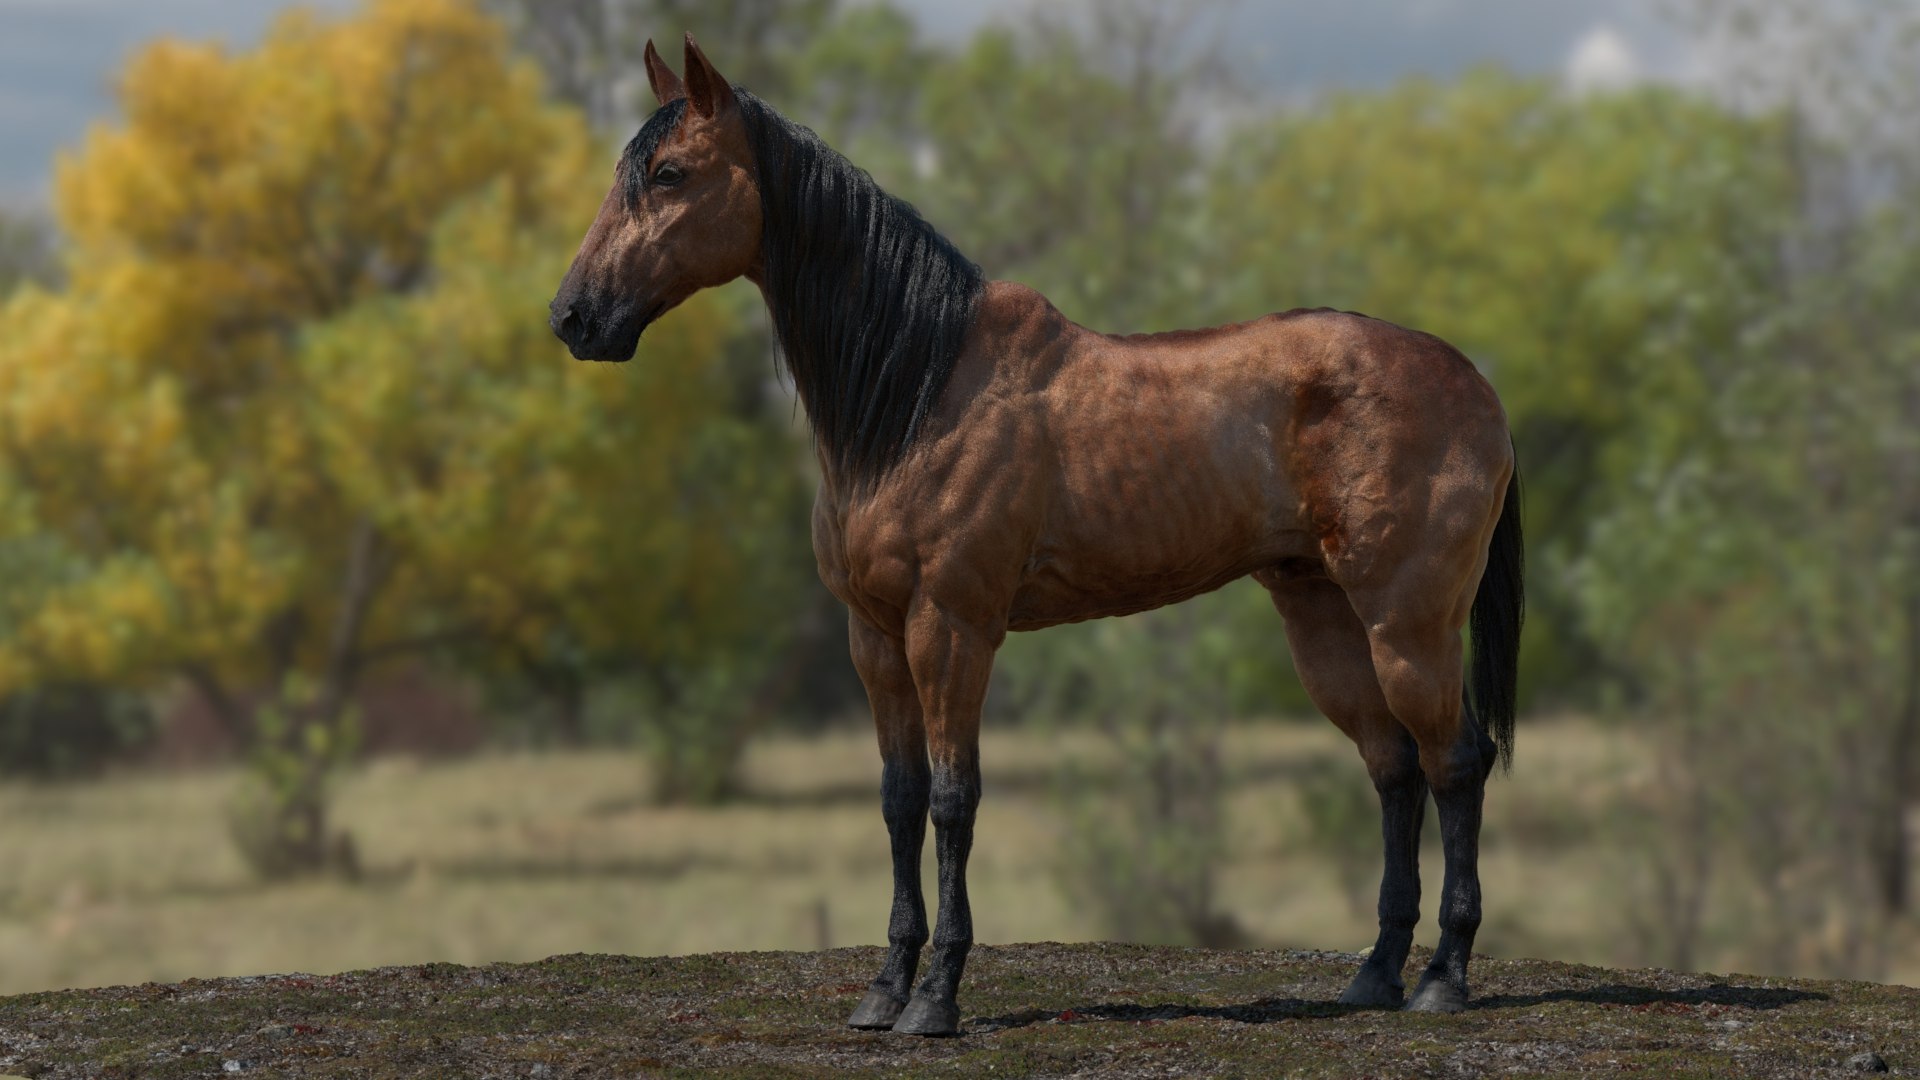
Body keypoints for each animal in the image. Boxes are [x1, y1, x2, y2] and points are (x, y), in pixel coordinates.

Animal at [549, 34, 1523, 1037]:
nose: (574, 317)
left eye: (670, 172)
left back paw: (1443, 977)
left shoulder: (952, 626)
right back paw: (1374, 974)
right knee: (1395, 770)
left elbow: (953, 802)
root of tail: (1475, 387)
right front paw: (884, 988)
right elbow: (899, 802)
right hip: (1326, 623)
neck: (920, 390)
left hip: (1408, 626)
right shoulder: (874, 636)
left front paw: (936, 996)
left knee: (1456, 763)